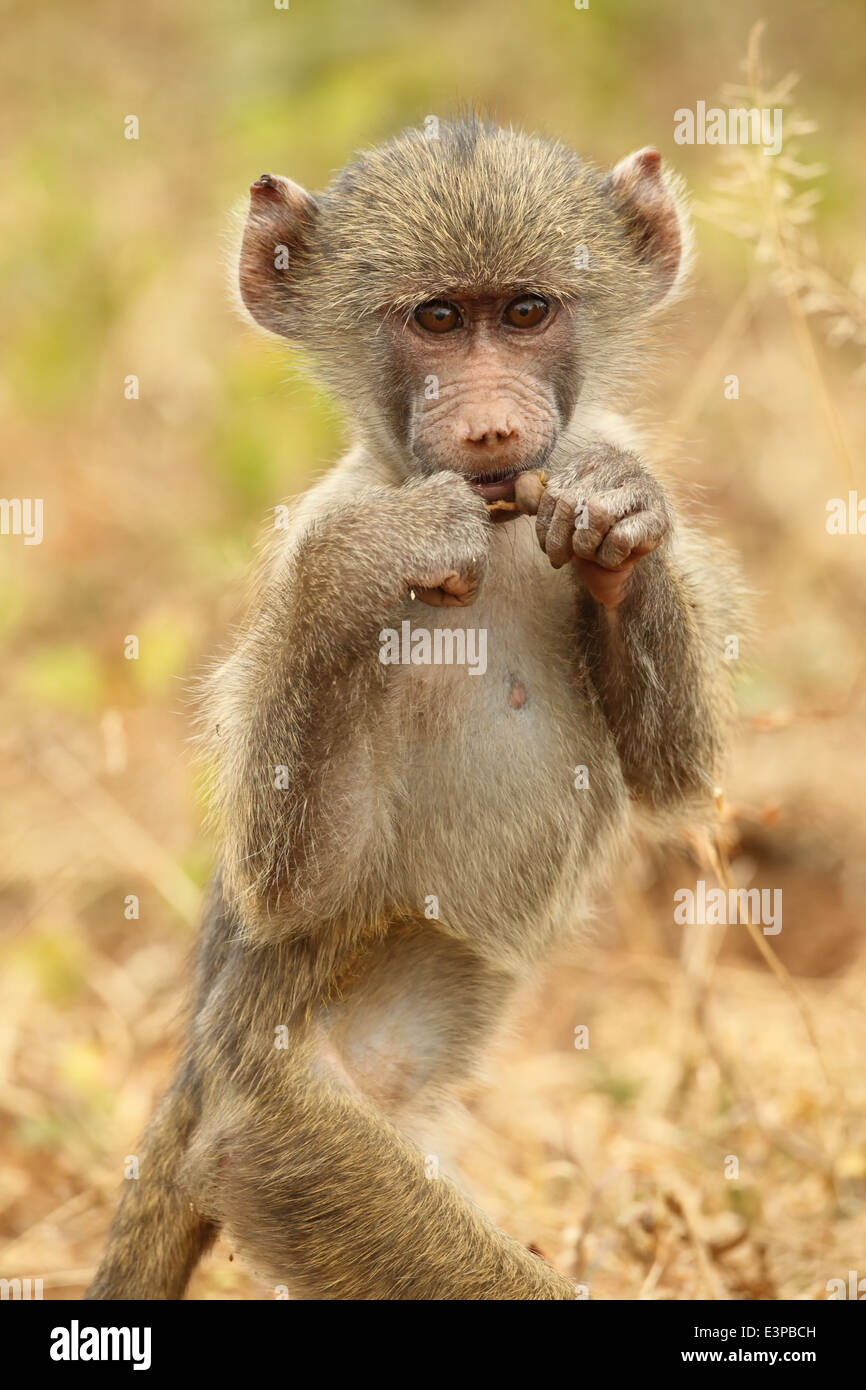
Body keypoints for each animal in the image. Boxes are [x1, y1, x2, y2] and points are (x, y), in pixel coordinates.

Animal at [88, 119, 741, 1301]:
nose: (486, 429)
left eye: (524, 312)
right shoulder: (324, 526)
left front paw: (615, 518)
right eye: (435, 320)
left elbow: (678, 774)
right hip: (282, 1119)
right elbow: (294, 882)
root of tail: (208, 1056)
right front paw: (369, 561)